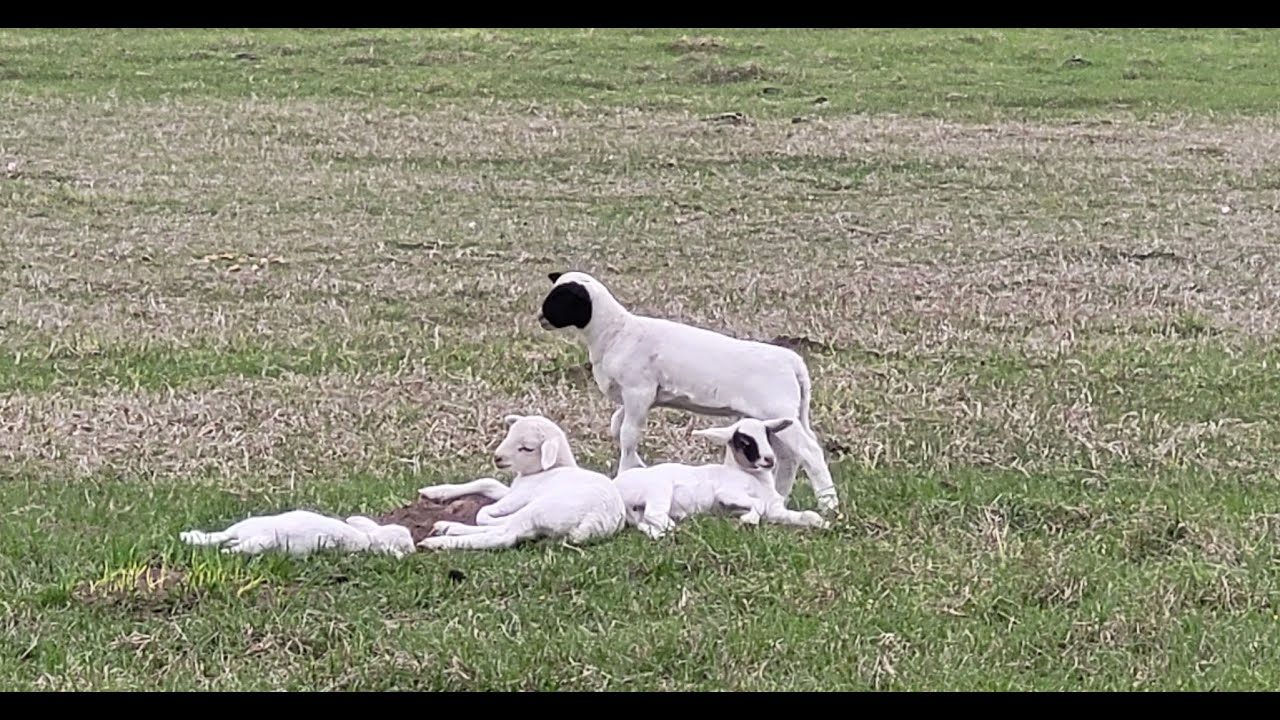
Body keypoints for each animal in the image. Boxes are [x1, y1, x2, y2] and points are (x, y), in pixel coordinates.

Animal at [416, 414, 627, 551]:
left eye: (527, 448)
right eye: (508, 435)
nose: (497, 458)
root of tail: (599, 521)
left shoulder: (521, 494)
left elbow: (483, 512)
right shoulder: (513, 490)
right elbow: (487, 482)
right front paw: (436, 491)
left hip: (544, 507)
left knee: (505, 535)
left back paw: (440, 541)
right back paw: (450, 528)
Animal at [537, 270, 841, 514]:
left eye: (561, 298)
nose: (540, 318)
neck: (615, 332)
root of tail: (794, 362)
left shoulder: (639, 390)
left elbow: (628, 434)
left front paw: (627, 471)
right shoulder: (638, 397)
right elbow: (617, 426)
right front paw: (640, 466)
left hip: (776, 409)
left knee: (810, 451)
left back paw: (829, 503)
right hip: (779, 418)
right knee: (791, 456)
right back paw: (782, 495)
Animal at [614, 416, 830, 539]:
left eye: (768, 436)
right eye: (744, 442)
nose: (769, 459)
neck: (754, 479)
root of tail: (617, 486)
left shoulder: (775, 510)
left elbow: (808, 515)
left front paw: (825, 524)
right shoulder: (727, 493)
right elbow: (757, 504)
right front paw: (748, 519)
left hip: (639, 512)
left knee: (646, 523)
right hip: (659, 490)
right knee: (655, 514)